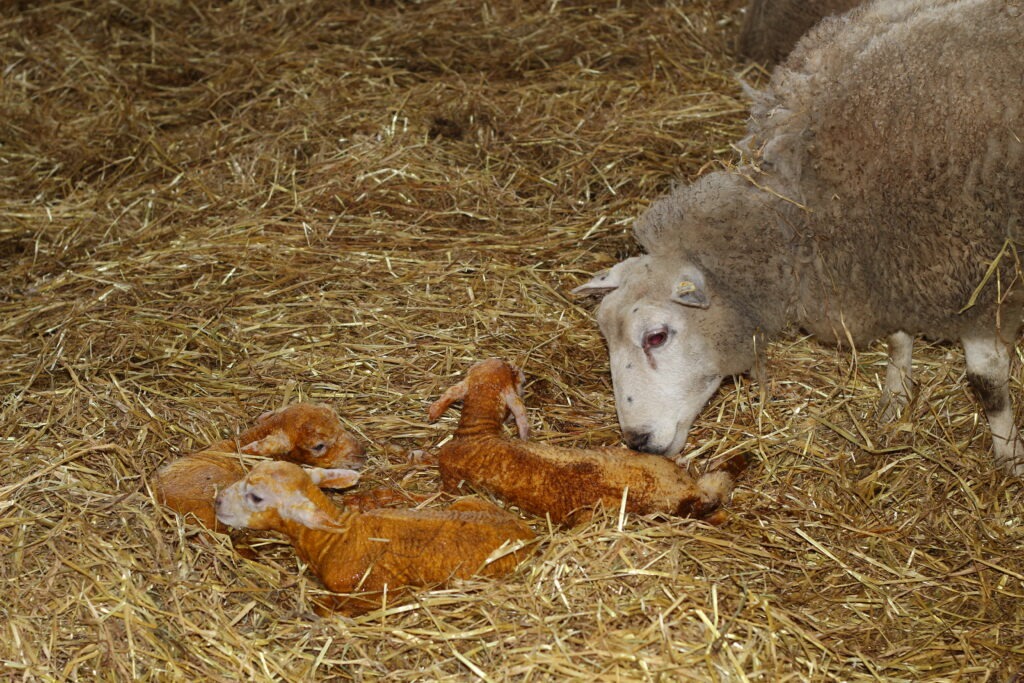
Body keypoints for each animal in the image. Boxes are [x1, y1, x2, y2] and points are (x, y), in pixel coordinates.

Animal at [214, 460, 536, 614]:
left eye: (256, 497)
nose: (217, 502)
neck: (337, 538)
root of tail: (530, 535)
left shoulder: (379, 592)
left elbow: (327, 609)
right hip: (468, 502)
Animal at [572, 0, 1024, 476]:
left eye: (656, 336)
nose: (636, 441)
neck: (799, 212)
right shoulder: (884, 265)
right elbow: (898, 338)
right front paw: (895, 398)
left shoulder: (986, 281)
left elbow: (987, 383)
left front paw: (1010, 458)